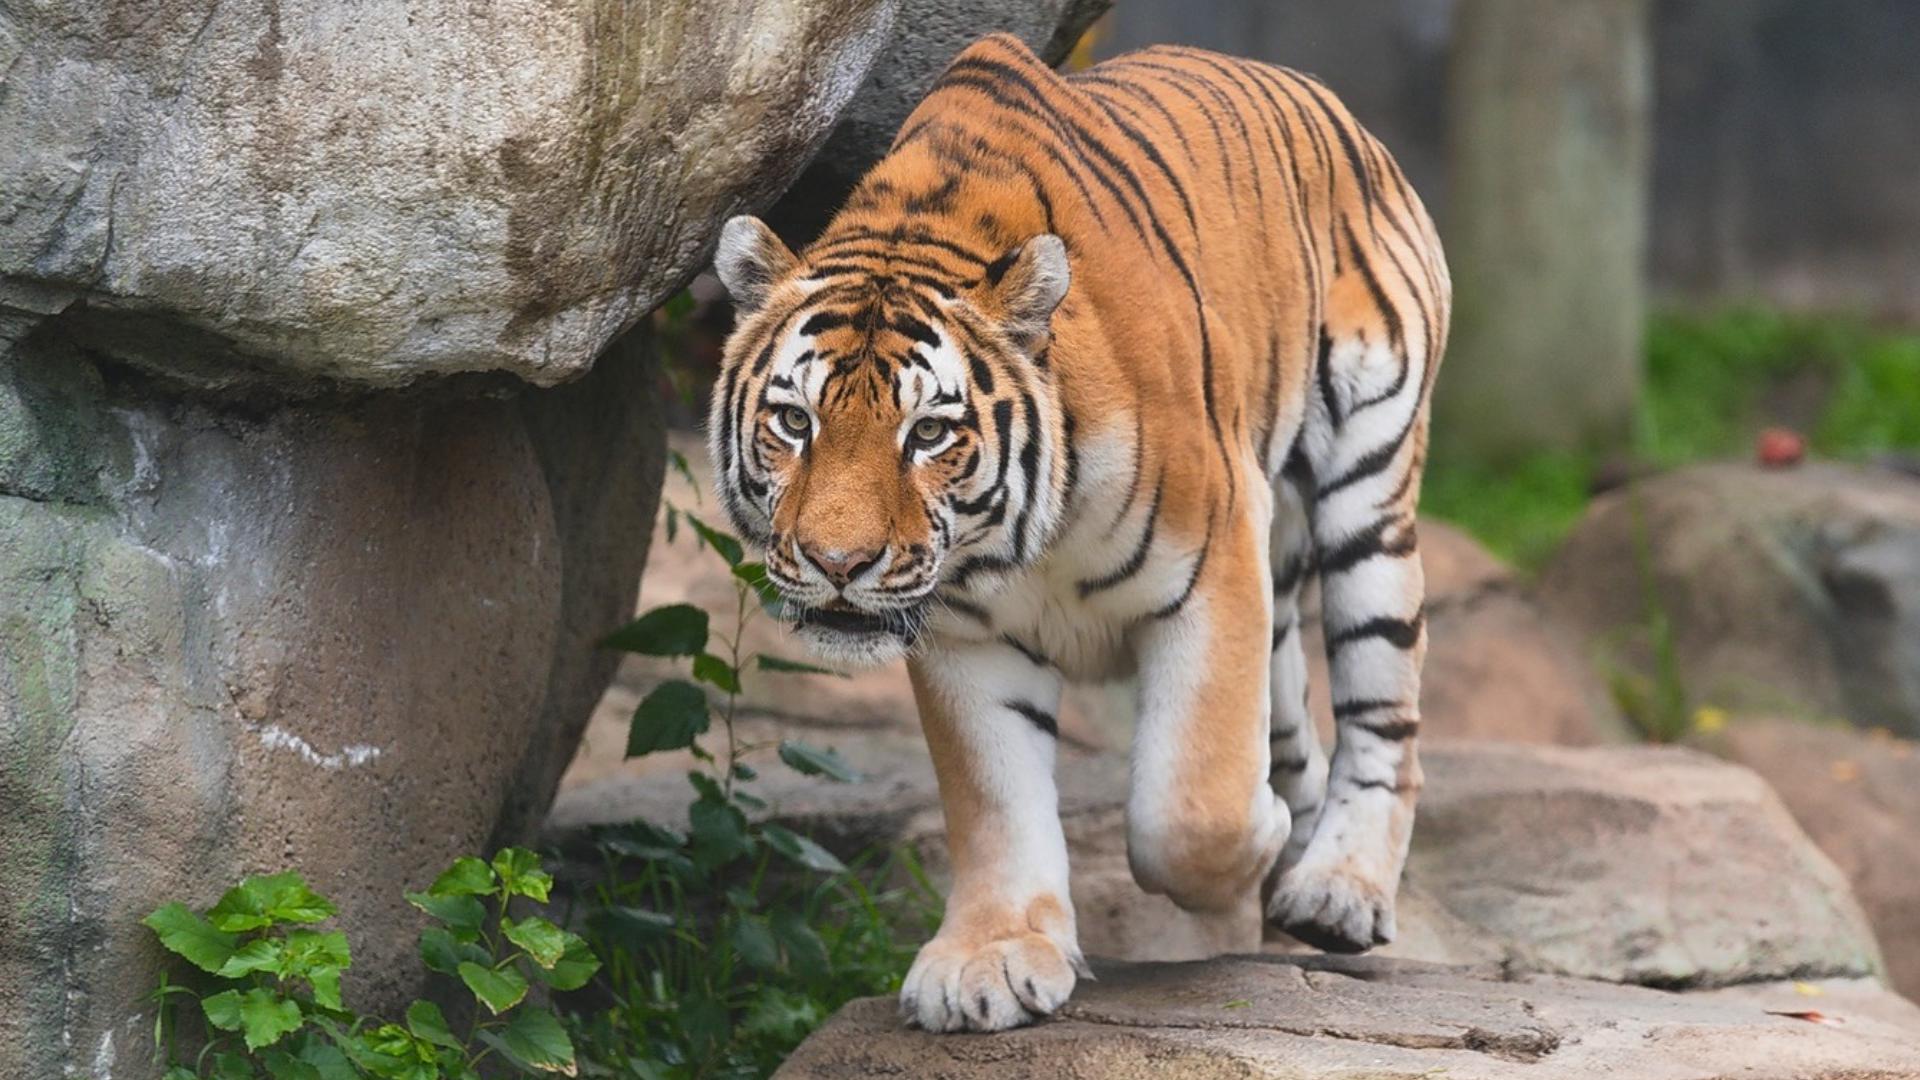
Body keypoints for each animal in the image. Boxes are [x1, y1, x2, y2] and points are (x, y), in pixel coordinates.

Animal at [708, 32, 1448, 1032]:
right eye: (794, 422)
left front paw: (1255, 835)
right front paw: (991, 959)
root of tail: (1327, 102)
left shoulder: (1218, 555)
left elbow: (1188, 807)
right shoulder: (963, 634)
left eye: (928, 434)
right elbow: (995, 796)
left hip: (1370, 487)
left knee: (1383, 714)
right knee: (1298, 724)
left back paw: (1336, 888)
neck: (1021, 543)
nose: (838, 563)